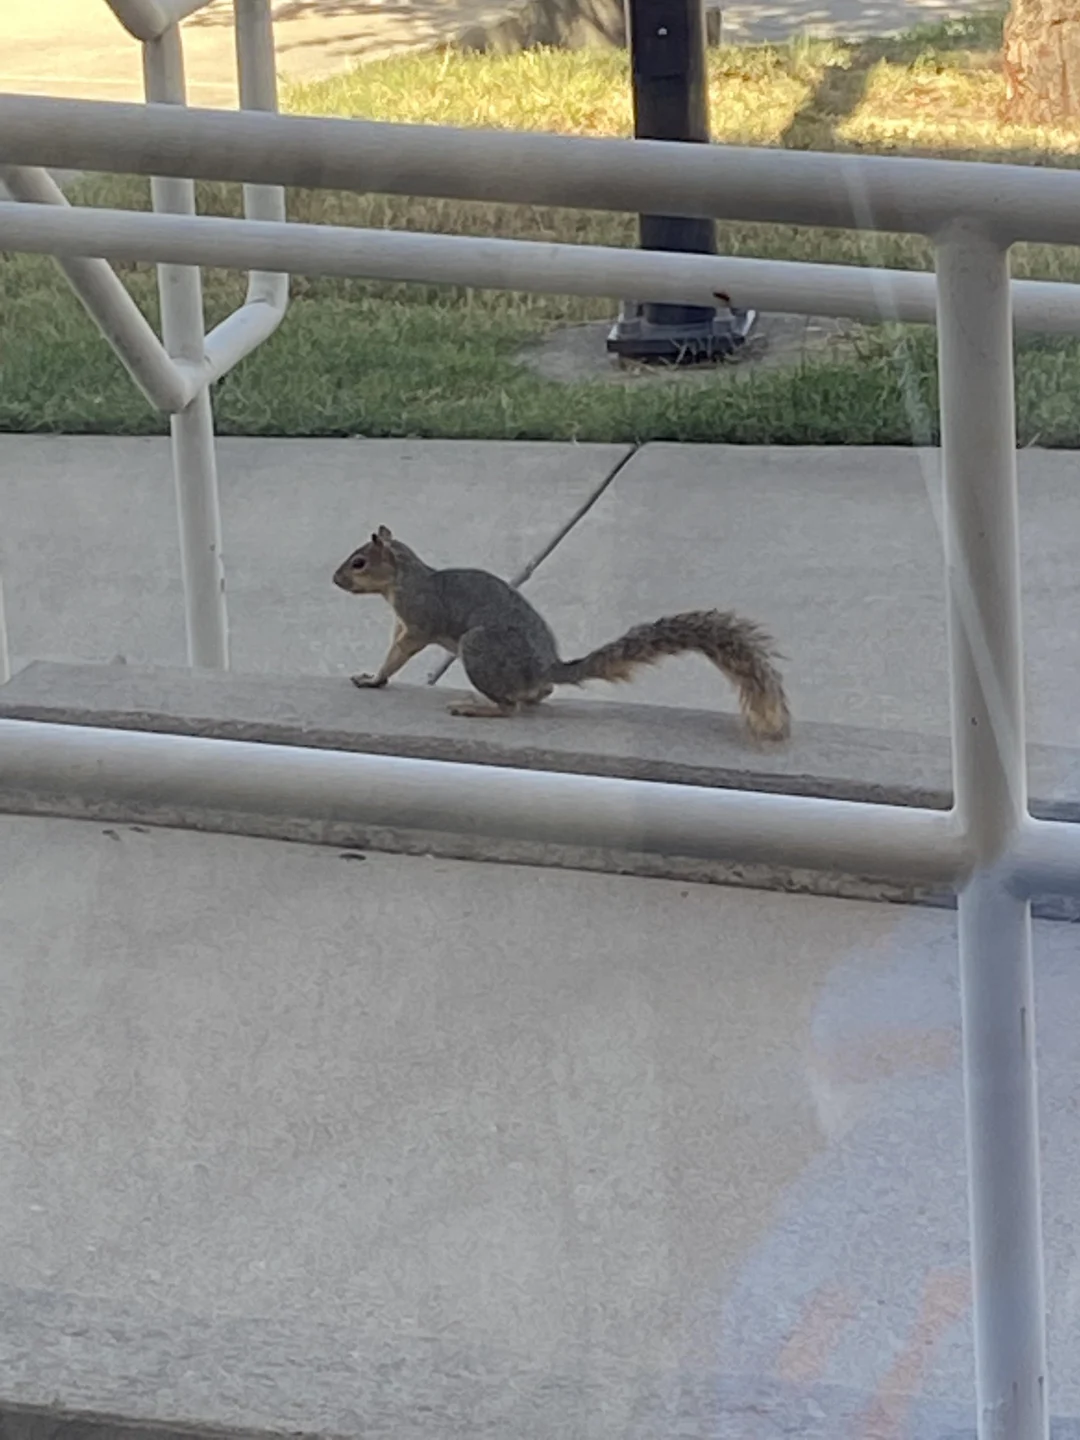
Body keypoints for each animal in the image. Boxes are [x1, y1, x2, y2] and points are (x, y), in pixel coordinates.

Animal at [332, 526, 790, 741]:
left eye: (358, 563)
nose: (335, 579)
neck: (403, 579)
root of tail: (545, 668)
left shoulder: (420, 618)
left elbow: (400, 654)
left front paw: (374, 678)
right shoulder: (403, 620)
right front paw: (373, 675)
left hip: (477, 647)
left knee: (512, 708)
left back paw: (477, 707)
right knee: (537, 696)